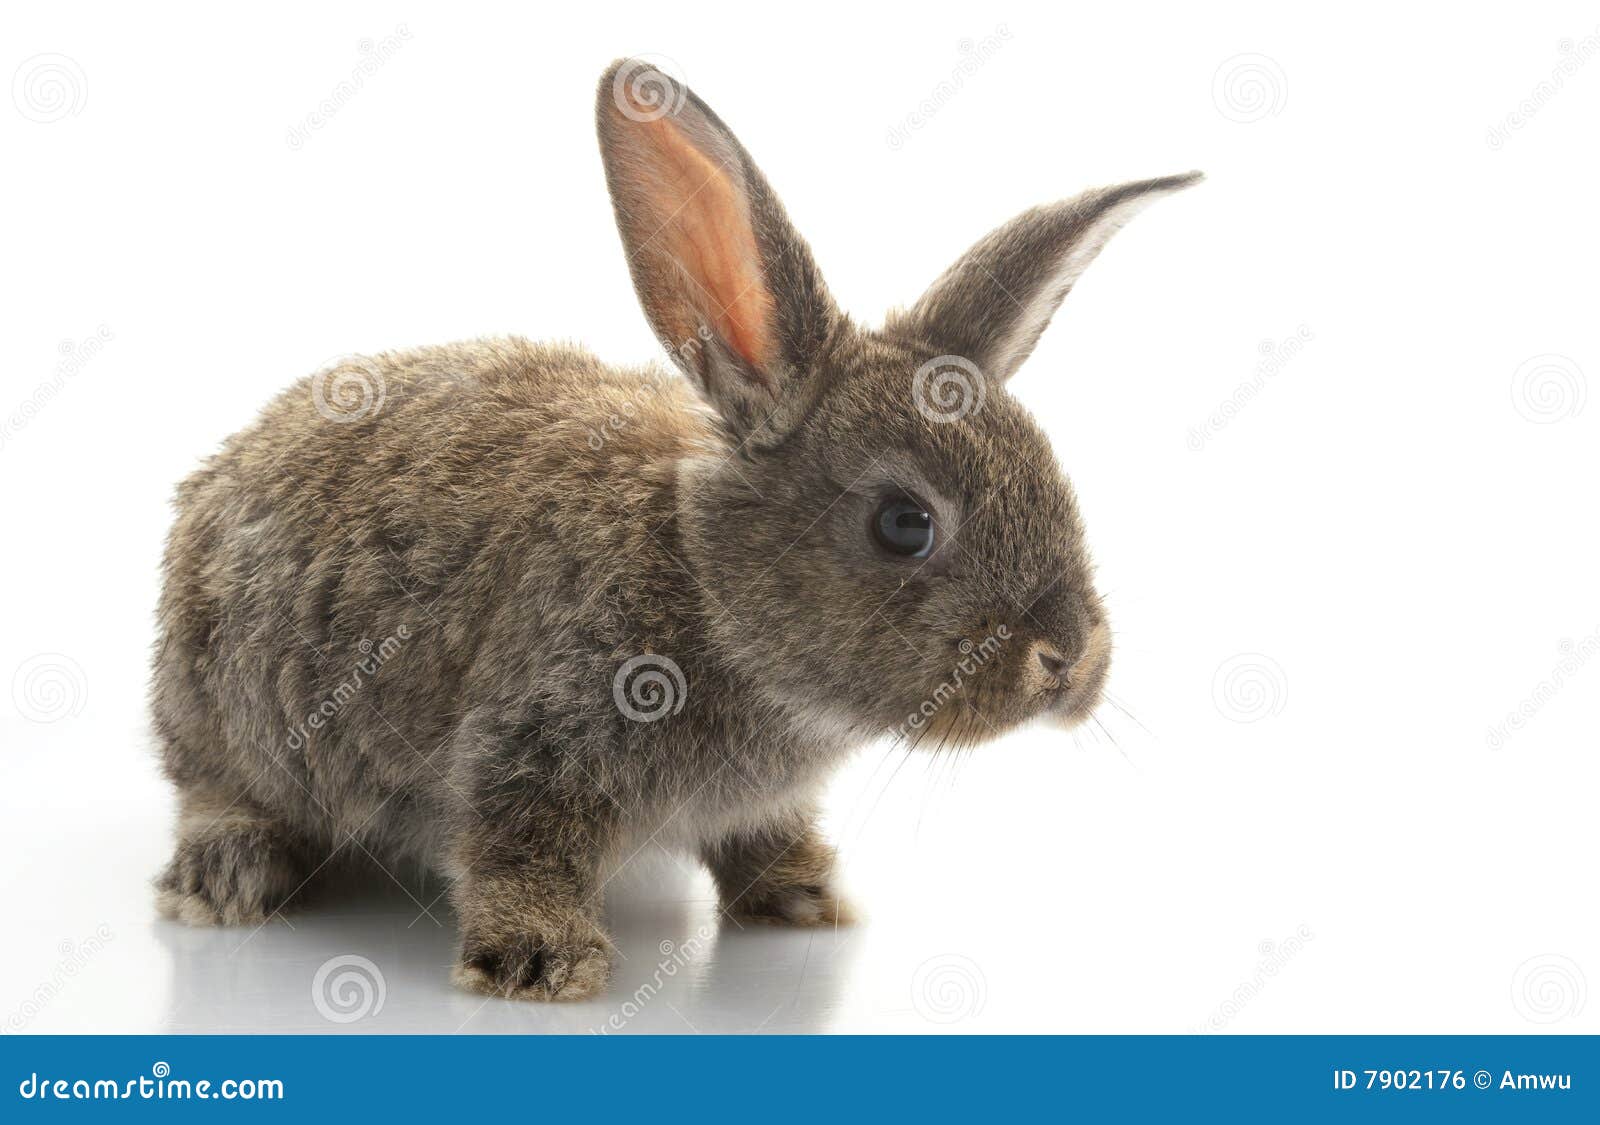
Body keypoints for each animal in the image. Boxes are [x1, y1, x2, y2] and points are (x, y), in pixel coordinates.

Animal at [149, 57, 1200, 1001]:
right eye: (905, 524)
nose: (1068, 658)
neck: (706, 584)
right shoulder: (533, 746)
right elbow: (519, 847)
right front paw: (540, 963)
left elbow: (766, 840)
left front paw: (805, 898)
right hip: (227, 714)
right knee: (216, 789)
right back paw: (227, 874)